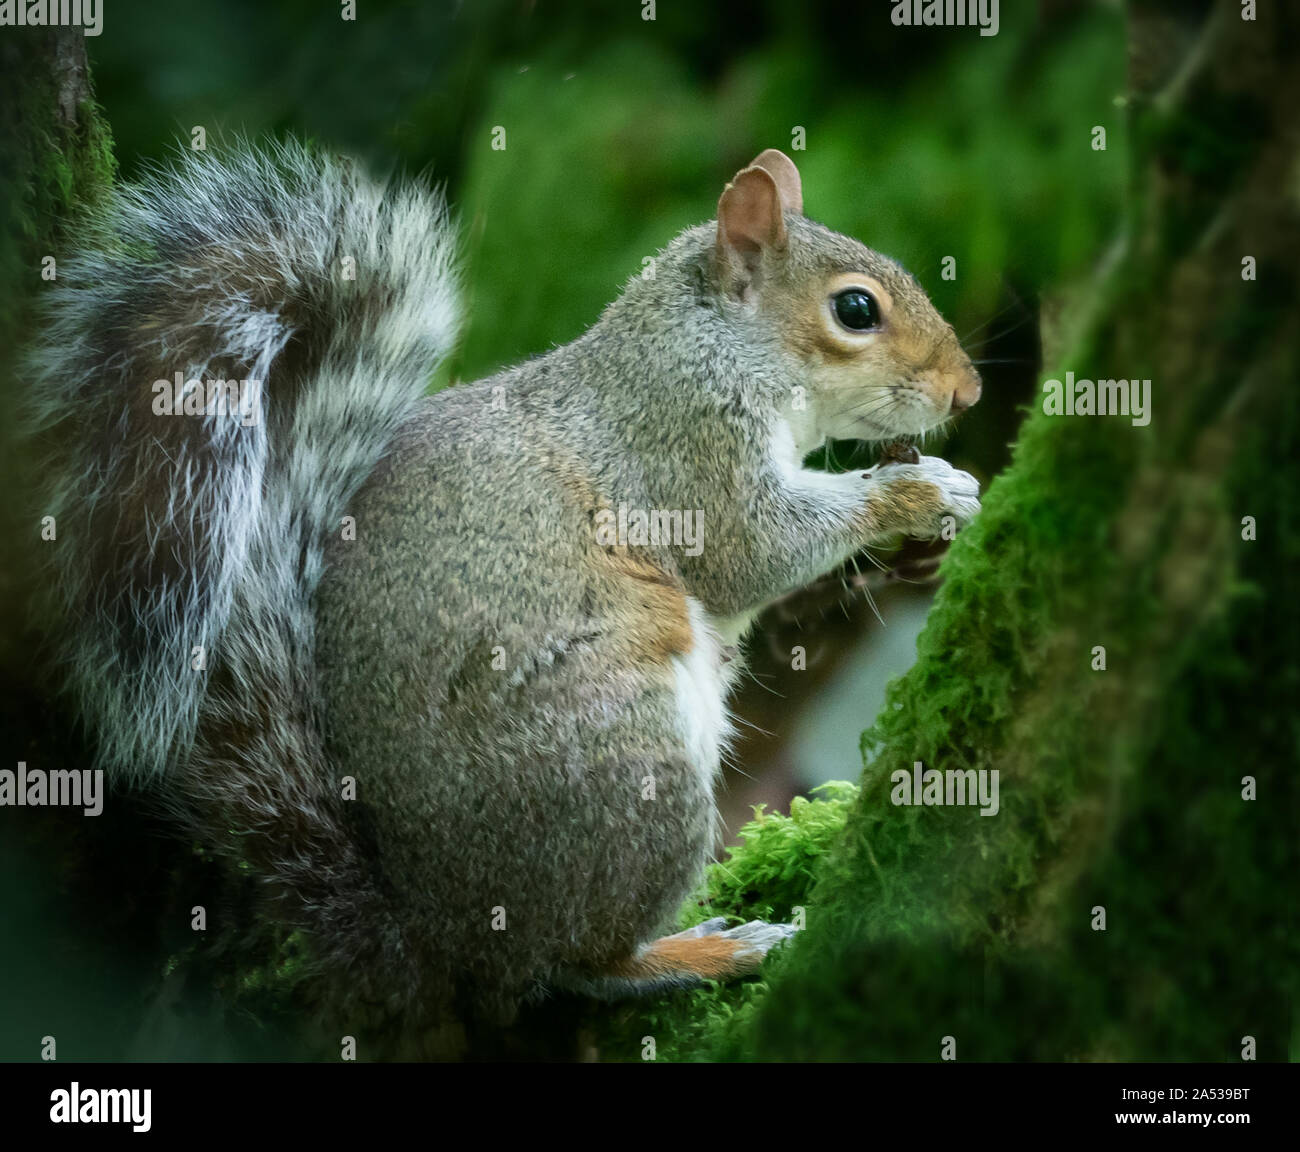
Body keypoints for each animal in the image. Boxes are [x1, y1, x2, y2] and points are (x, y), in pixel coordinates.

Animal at [23, 140, 981, 1056]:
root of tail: (434, 936)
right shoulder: (682, 451)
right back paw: (702, 950)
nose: (967, 389)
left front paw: (913, 547)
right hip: (626, 759)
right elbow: (753, 554)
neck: (709, 345)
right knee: (575, 966)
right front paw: (917, 493)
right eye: (855, 310)